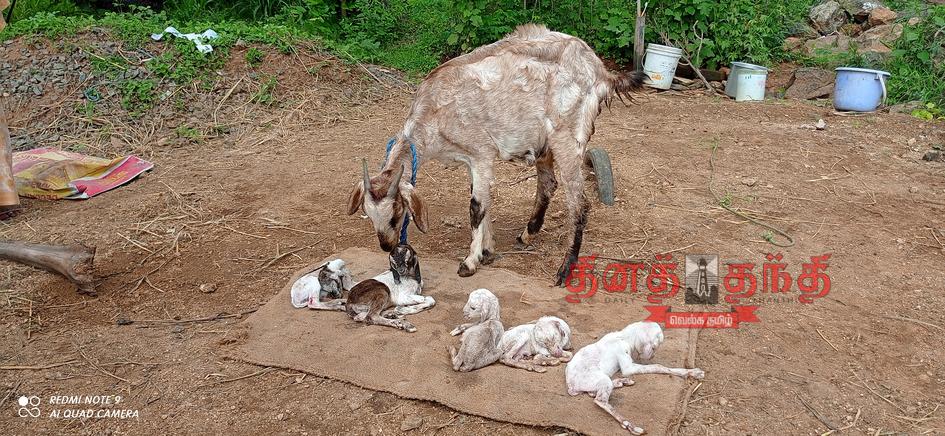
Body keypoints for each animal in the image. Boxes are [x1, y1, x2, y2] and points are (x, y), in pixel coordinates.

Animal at [346, 24, 646, 285]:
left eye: (396, 212)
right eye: (367, 212)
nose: (386, 245)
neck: (433, 113)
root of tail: (599, 70)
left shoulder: (481, 153)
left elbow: (476, 207)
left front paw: (470, 262)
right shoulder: (472, 161)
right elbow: (484, 200)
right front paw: (488, 251)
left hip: (567, 137)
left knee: (579, 204)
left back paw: (565, 269)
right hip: (543, 143)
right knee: (548, 184)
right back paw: (527, 234)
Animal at [565, 322, 704, 434]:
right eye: (654, 347)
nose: (652, 356)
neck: (624, 337)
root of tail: (571, 385)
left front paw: (694, 372)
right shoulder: (627, 365)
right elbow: (658, 366)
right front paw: (690, 372)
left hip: (598, 381)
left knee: (594, 392)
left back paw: (621, 382)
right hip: (597, 379)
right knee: (600, 400)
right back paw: (629, 425)